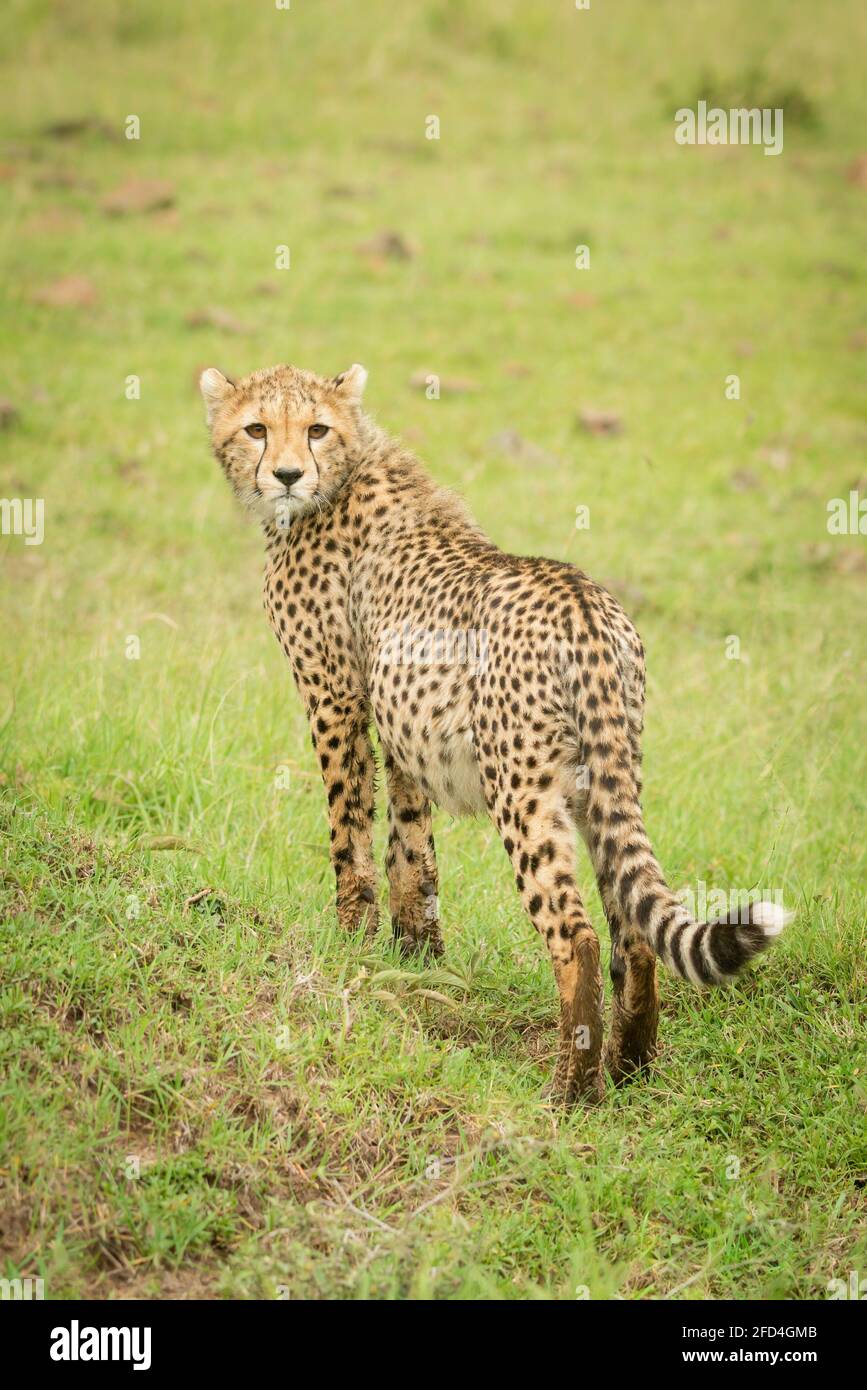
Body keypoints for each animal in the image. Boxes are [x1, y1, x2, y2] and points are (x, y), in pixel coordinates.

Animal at [200, 360, 790, 1105]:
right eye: (256, 428)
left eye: (315, 429)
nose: (284, 474)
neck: (346, 468)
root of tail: (582, 598)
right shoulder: (404, 725)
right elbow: (411, 848)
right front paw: (418, 959)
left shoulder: (335, 698)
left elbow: (349, 834)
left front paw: (351, 943)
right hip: (604, 779)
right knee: (632, 928)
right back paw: (629, 1069)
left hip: (522, 789)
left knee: (577, 935)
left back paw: (570, 1093)